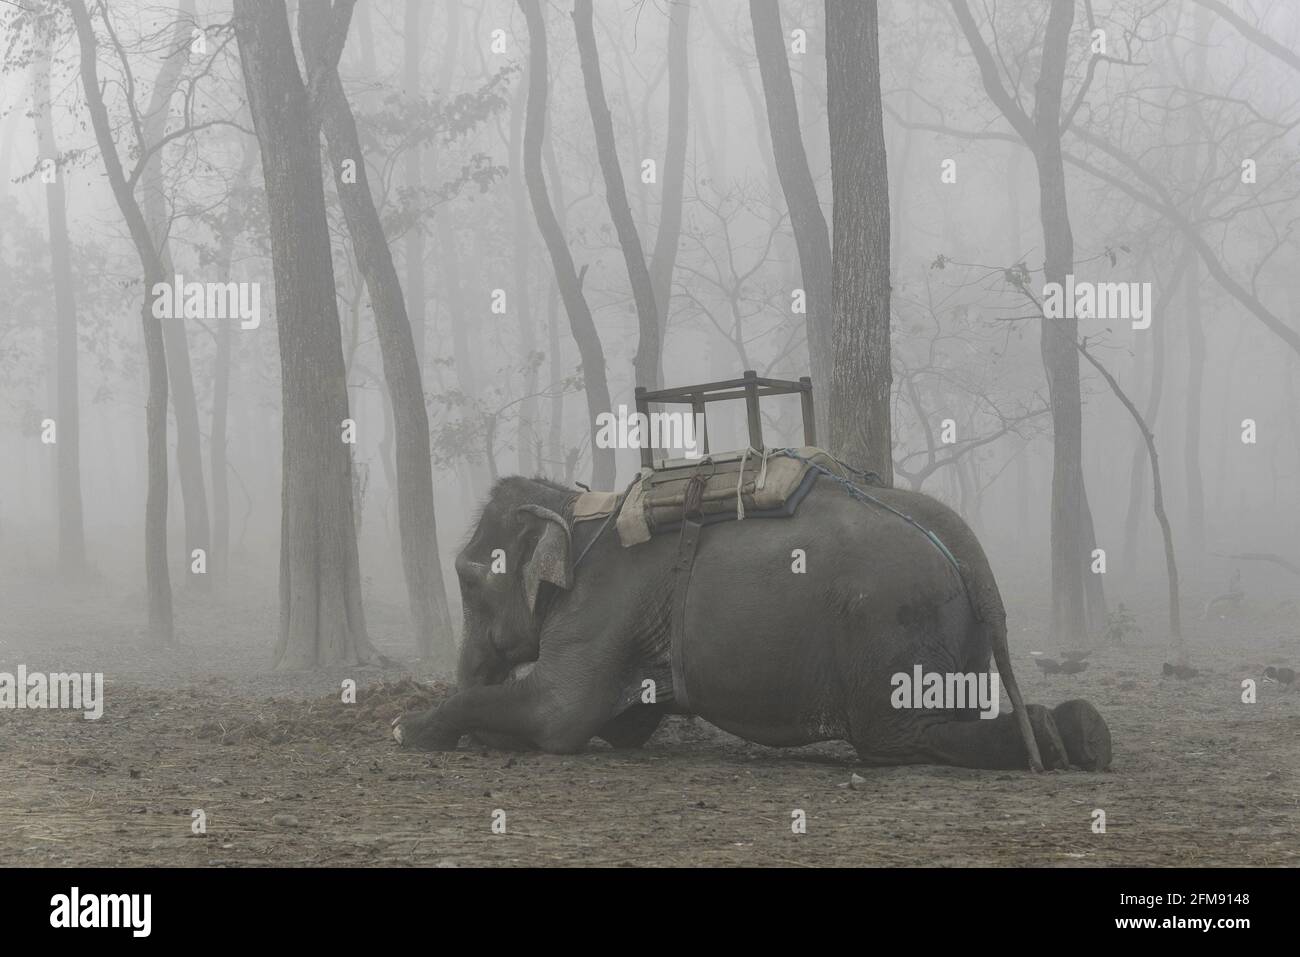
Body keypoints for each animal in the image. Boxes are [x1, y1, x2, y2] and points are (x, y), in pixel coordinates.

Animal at [393, 474, 1112, 772]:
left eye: (466, 578)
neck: (579, 507)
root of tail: (968, 552)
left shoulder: (602, 610)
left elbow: (560, 717)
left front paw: (411, 732)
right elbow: (624, 726)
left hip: (888, 631)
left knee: (897, 737)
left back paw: (1057, 739)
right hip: (953, 637)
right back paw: (1080, 734)